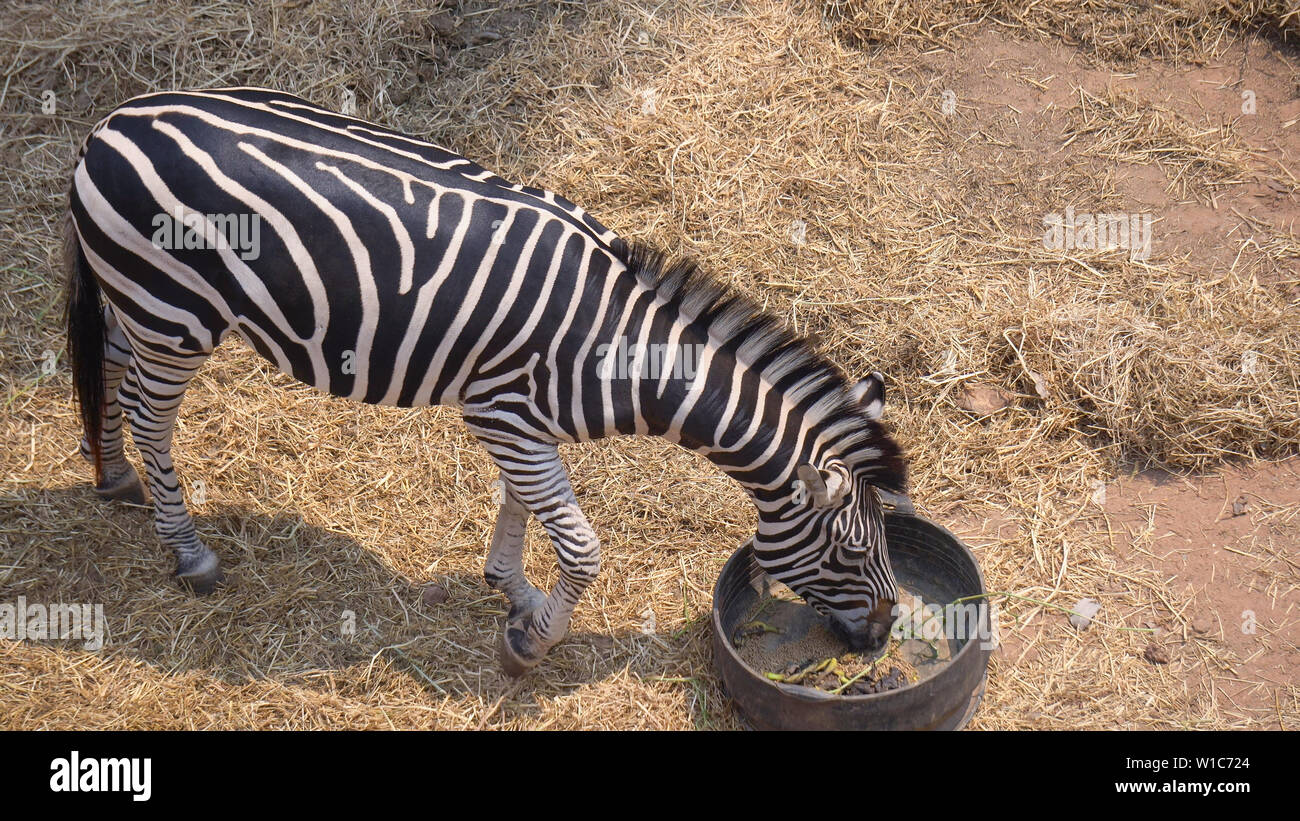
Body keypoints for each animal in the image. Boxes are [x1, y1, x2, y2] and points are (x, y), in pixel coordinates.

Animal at [63, 88, 907, 675]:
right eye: (849, 551)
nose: (885, 634)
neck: (622, 349)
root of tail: (108, 125)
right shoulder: (503, 415)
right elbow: (582, 548)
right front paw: (531, 642)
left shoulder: (522, 425)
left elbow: (521, 508)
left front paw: (514, 591)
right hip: (177, 311)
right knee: (150, 412)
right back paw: (188, 550)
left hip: (143, 304)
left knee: (112, 361)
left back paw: (115, 476)